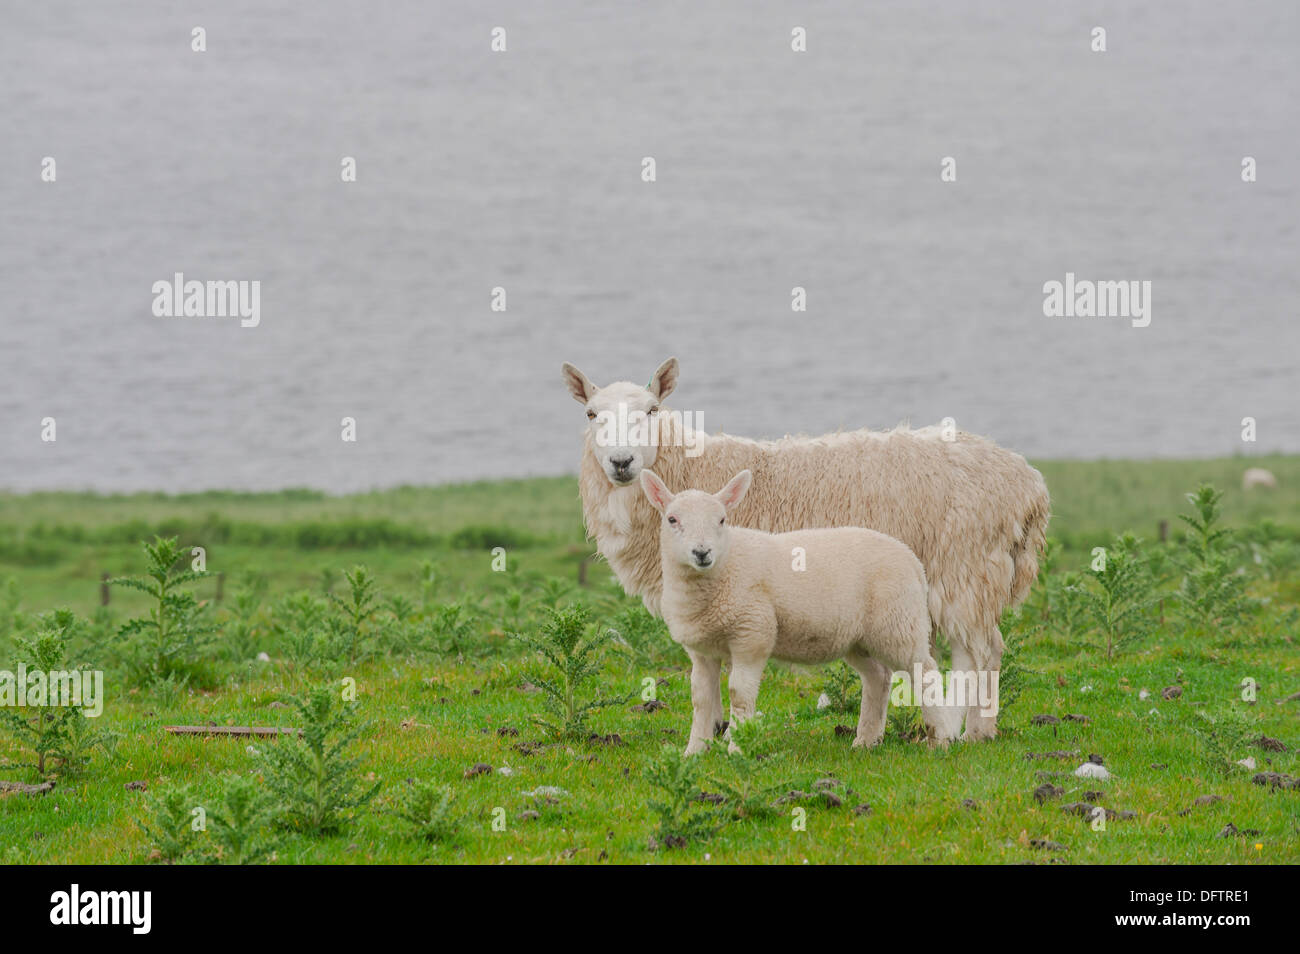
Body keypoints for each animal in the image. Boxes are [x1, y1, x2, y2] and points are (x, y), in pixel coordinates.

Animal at [640, 468, 960, 753]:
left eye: (722, 520)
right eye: (672, 519)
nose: (702, 553)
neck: (725, 565)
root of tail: (913, 561)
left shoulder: (752, 634)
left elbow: (739, 694)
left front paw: (737, 748)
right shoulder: (701, 649)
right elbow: (701, 699)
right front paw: (694, 751)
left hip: (899, 623)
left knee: (925, 672)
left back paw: (940, 738)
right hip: (858, 637)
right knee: (878, 676)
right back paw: (866, 740)